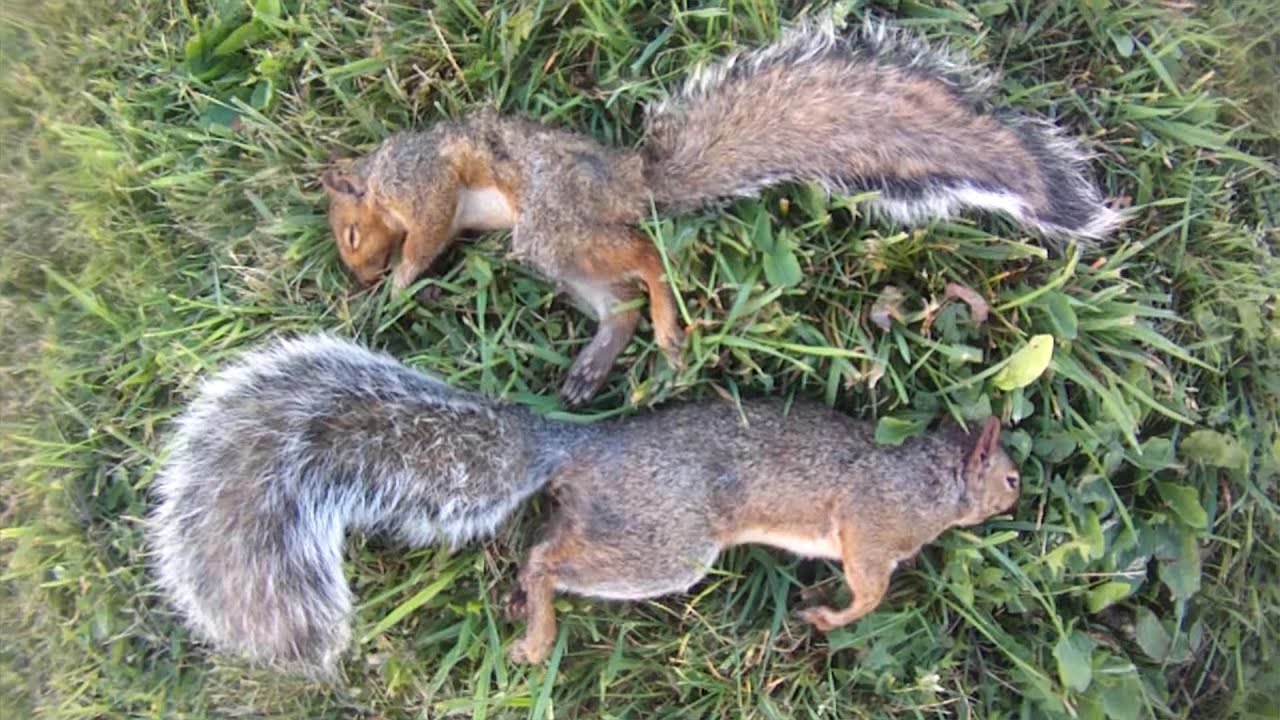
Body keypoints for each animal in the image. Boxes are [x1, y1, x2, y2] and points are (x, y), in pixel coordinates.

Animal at [148, 334, 1022, 675]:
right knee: (548, 559)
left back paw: (523, 613)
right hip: (665, 542)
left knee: (543, 545)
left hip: (612, 521)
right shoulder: (874, 527)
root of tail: (580, 449)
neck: (931, 478)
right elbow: (869, 591)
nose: (1018, 498)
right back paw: (537, 633)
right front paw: (828, 616)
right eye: (1009, 477)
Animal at [321, 17, 1123, 407]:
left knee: (645, 261)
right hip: (557, 247)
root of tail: (627, 177)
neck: (380, 174)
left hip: (554, 222)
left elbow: (427, 234)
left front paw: (397, 287)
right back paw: (597, 364)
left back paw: (671, 332)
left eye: (352, 233)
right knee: (620, 303)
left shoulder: (424, 183)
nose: (358, 278)